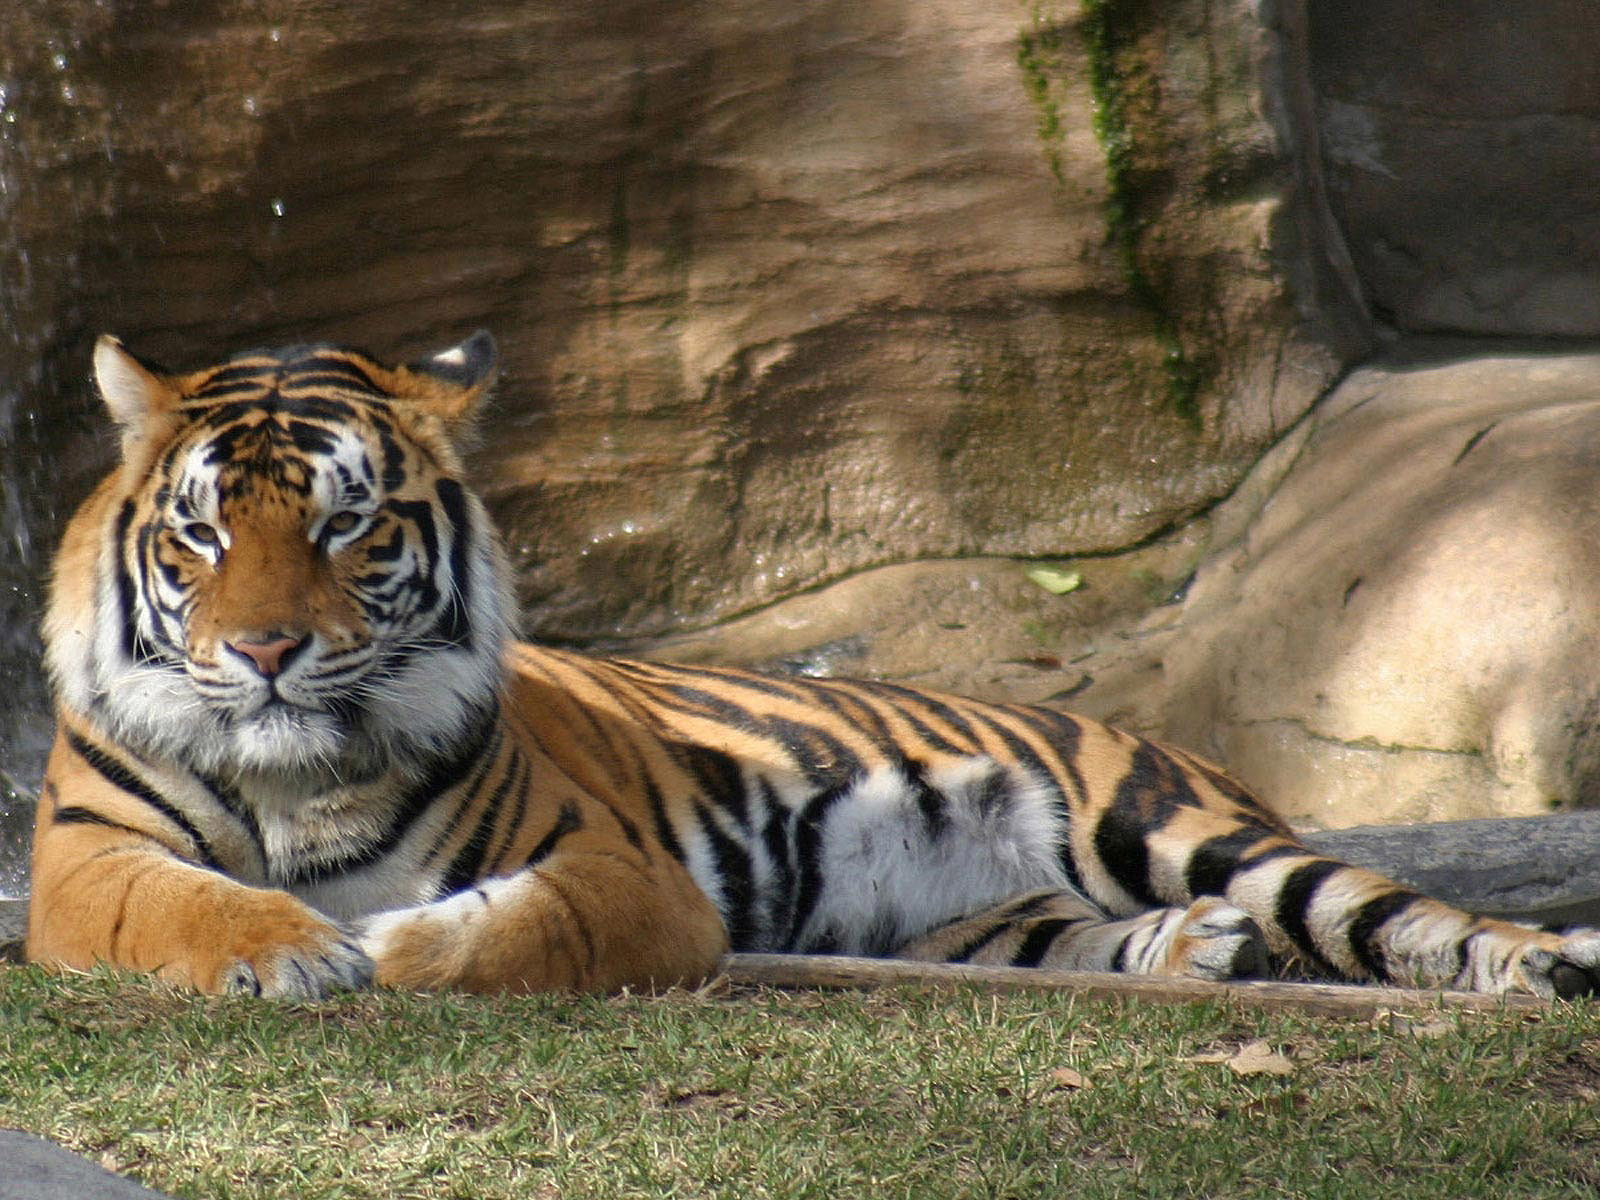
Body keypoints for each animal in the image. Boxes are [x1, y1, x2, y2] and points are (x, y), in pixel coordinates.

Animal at [25, 331, 1600, 1000]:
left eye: (346, 524)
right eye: (204, 533)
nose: (266, 650)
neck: (299, 778)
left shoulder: (612, 870)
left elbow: (499, 929)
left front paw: (386, 945)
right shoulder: (83, 861)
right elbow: (185, 905)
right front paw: (294, 950)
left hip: (1174, 824)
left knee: (1394, 912)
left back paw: (1538, 965)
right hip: (977, 919)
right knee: (1083, 937)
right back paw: (1189, 954)